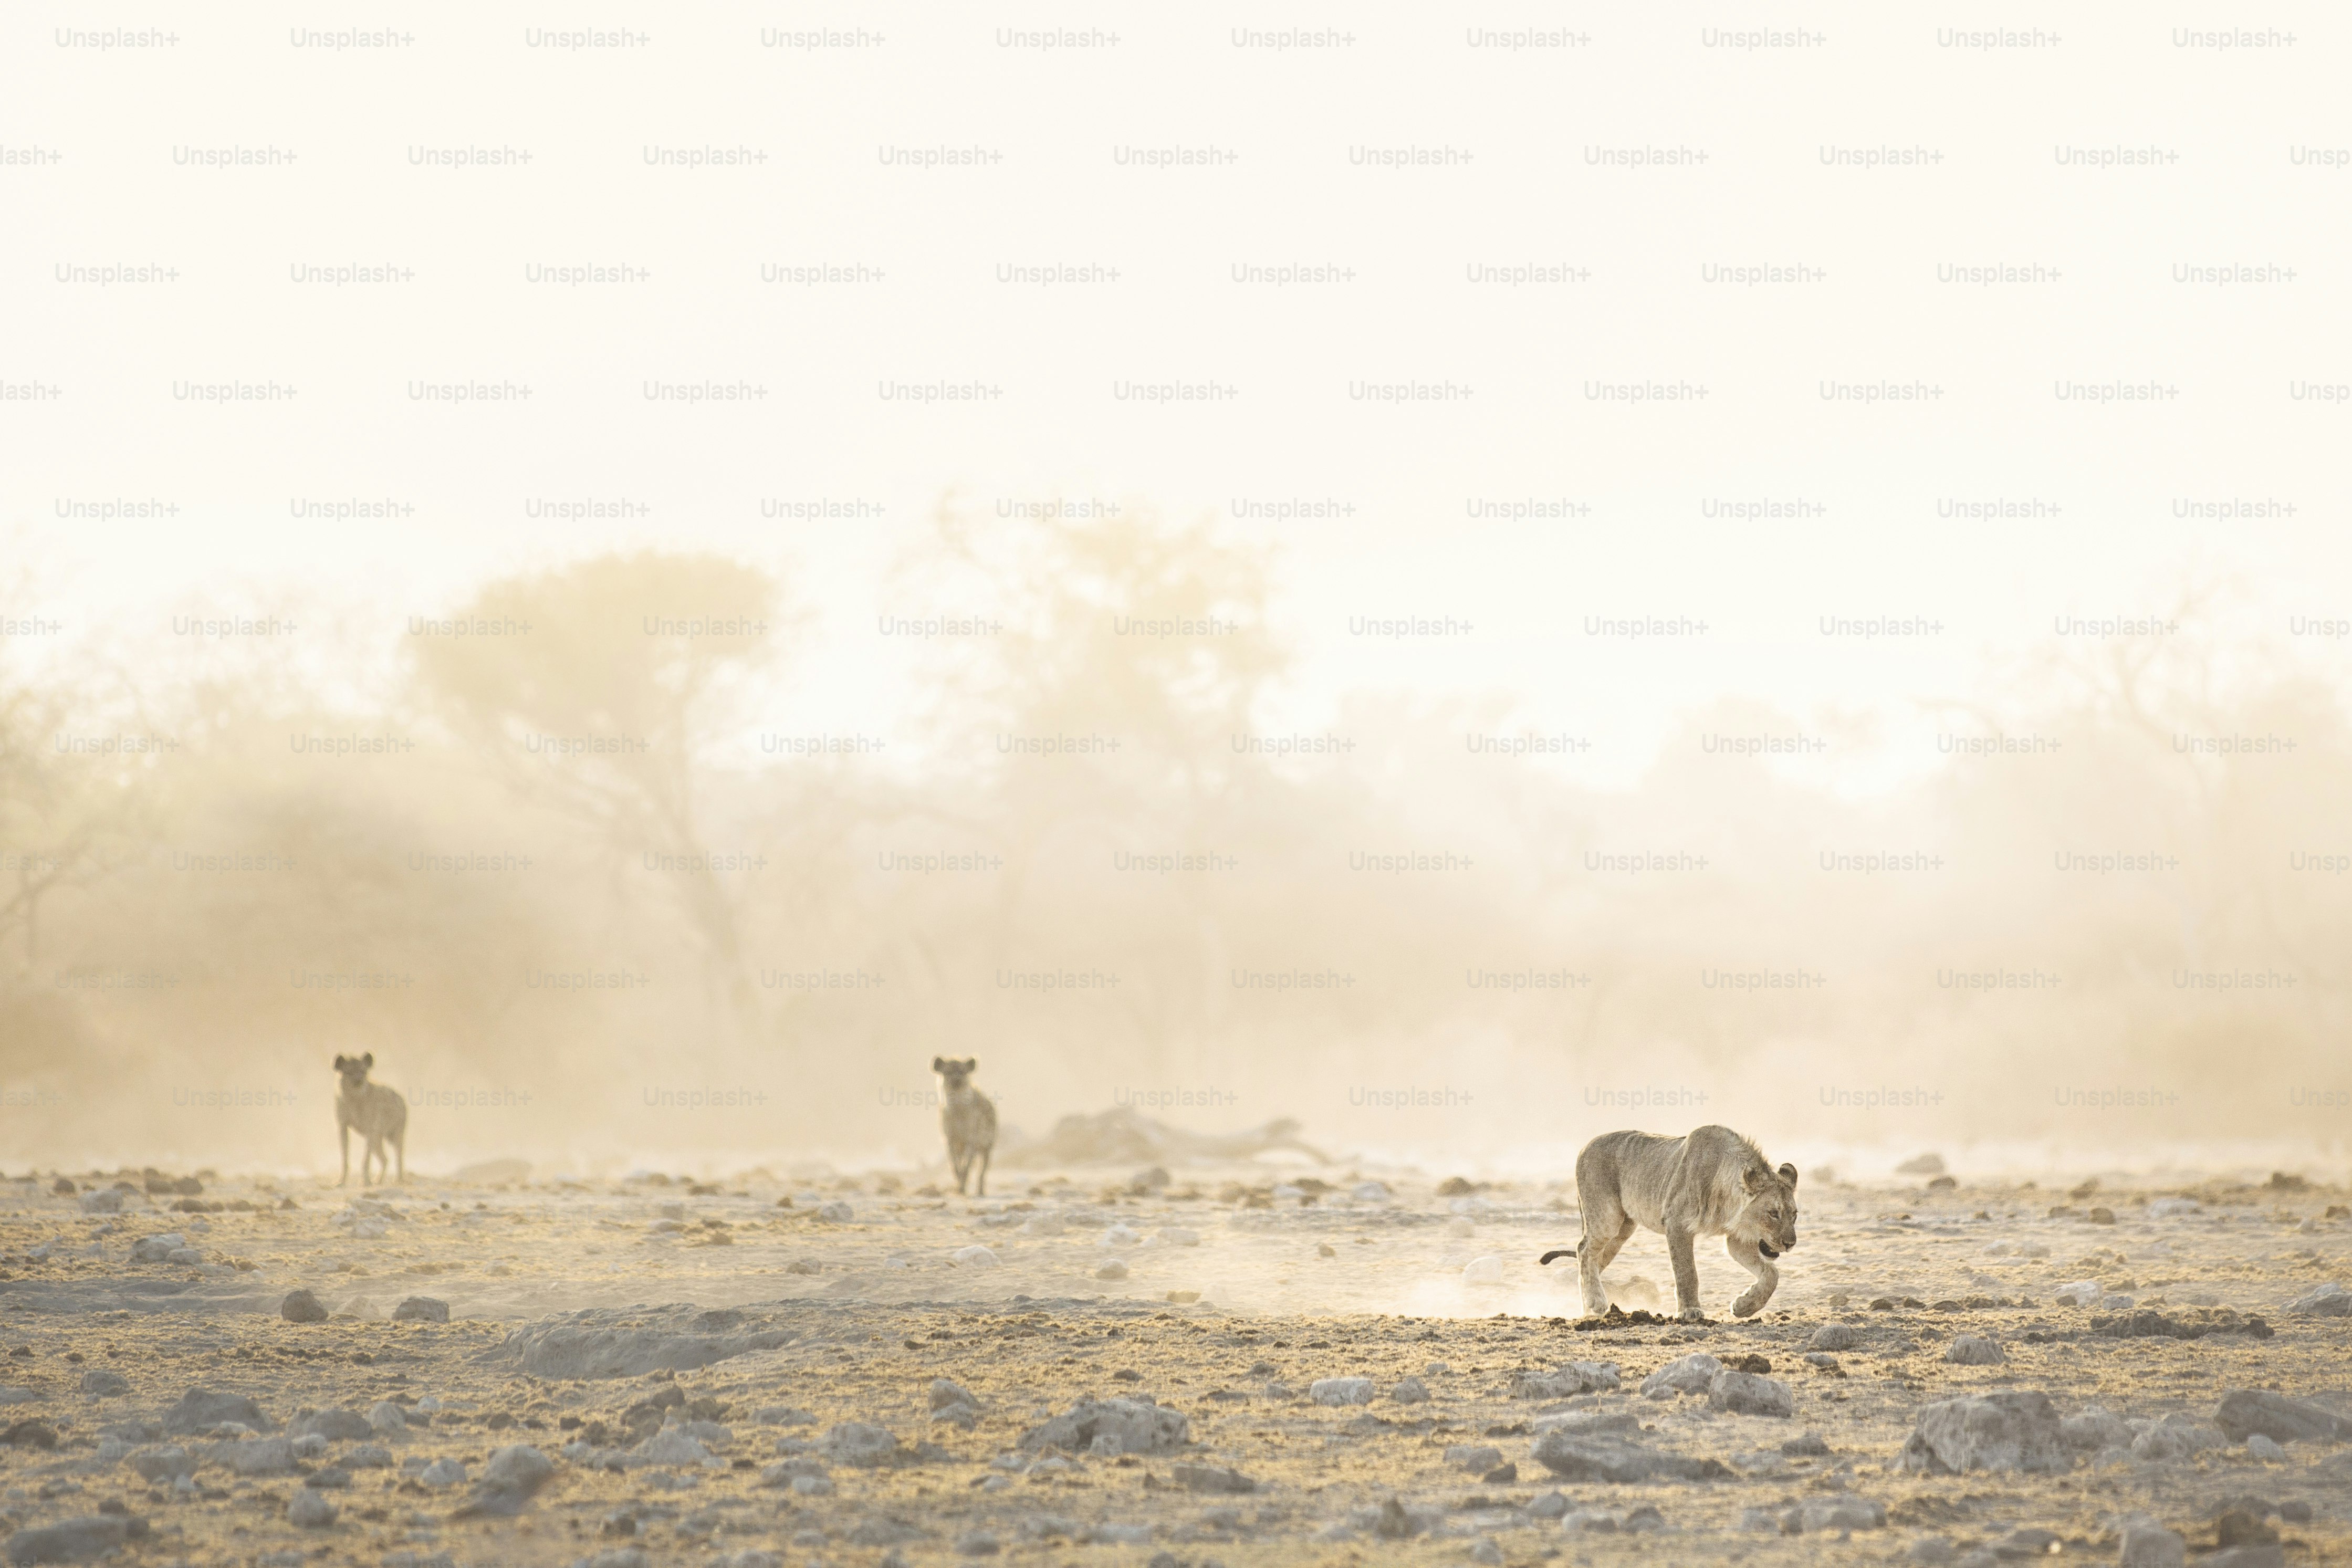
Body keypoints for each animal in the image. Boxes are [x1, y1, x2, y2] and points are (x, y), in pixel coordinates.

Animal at [1538, 1125, 1797, 1321]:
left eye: (1794, 1214)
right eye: (1773, 1213)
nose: (1790, 1244)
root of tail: (1585, 1146)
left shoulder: (1738, 1241)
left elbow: (1771, 1274)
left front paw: (1744, 1306)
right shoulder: (1677, 1223)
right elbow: (1686, 1272)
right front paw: (1690, 1311)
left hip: (1622, 1231)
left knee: (1590, 1261)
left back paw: (1588, 1310)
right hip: (1606, 1219)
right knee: (1583, 1250)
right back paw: (1597, 1302)